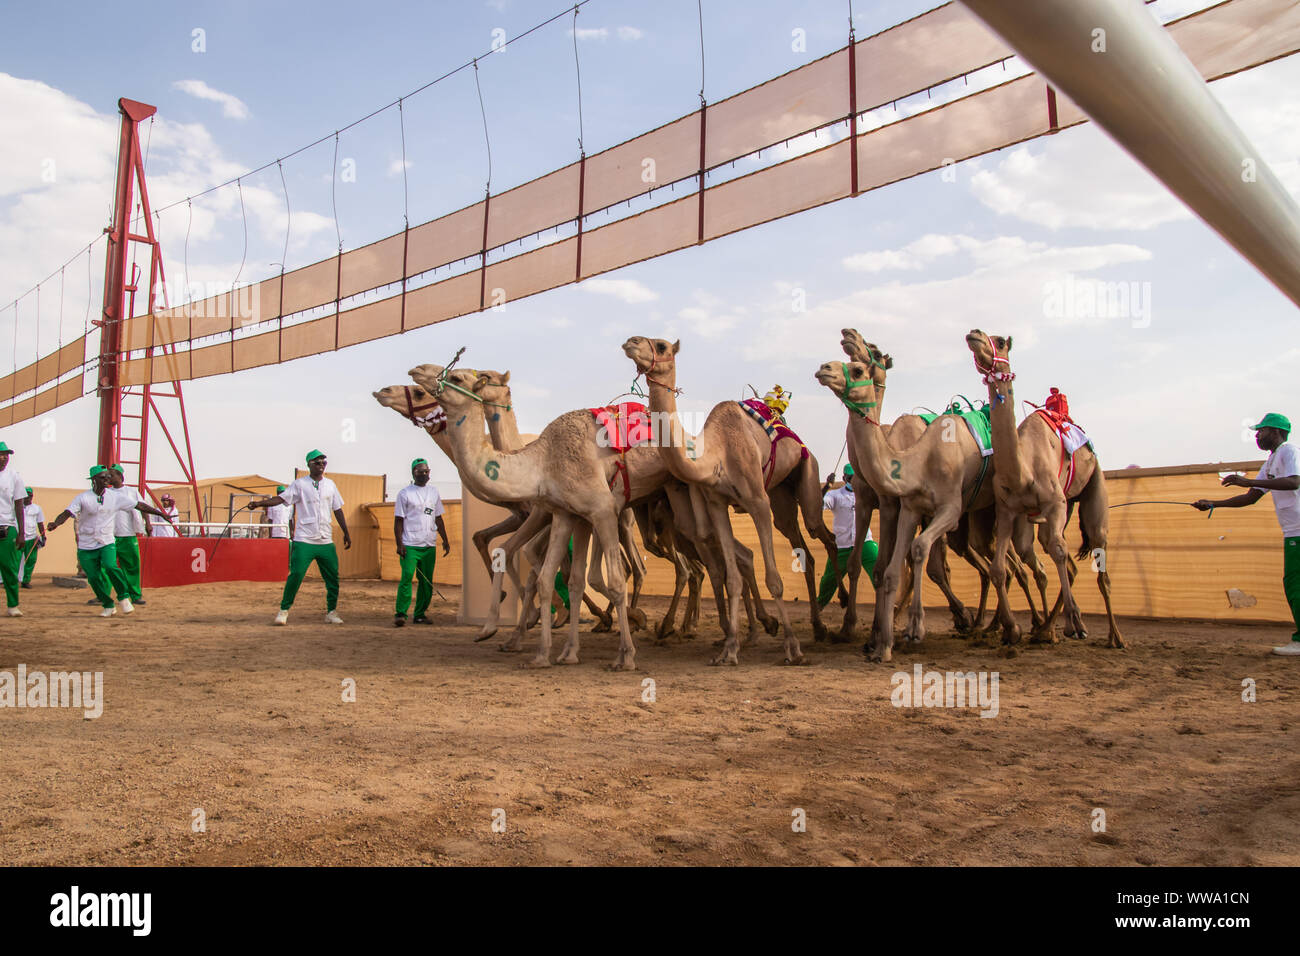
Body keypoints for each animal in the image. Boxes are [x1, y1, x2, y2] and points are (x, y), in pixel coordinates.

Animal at [965, 331, 1125, 649]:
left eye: (1000, 342)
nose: (974, 335)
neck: (1023, 471)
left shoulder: (1053, 503)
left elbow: (1060, 551)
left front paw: (1075, 622)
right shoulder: (1007, 510)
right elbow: (999, 569)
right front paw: (1013, 629)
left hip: (1093, 487)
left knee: (1094, 557)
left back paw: (1114, 636)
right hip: (1047, 515)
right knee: (1048, 555)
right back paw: (1045, 629)